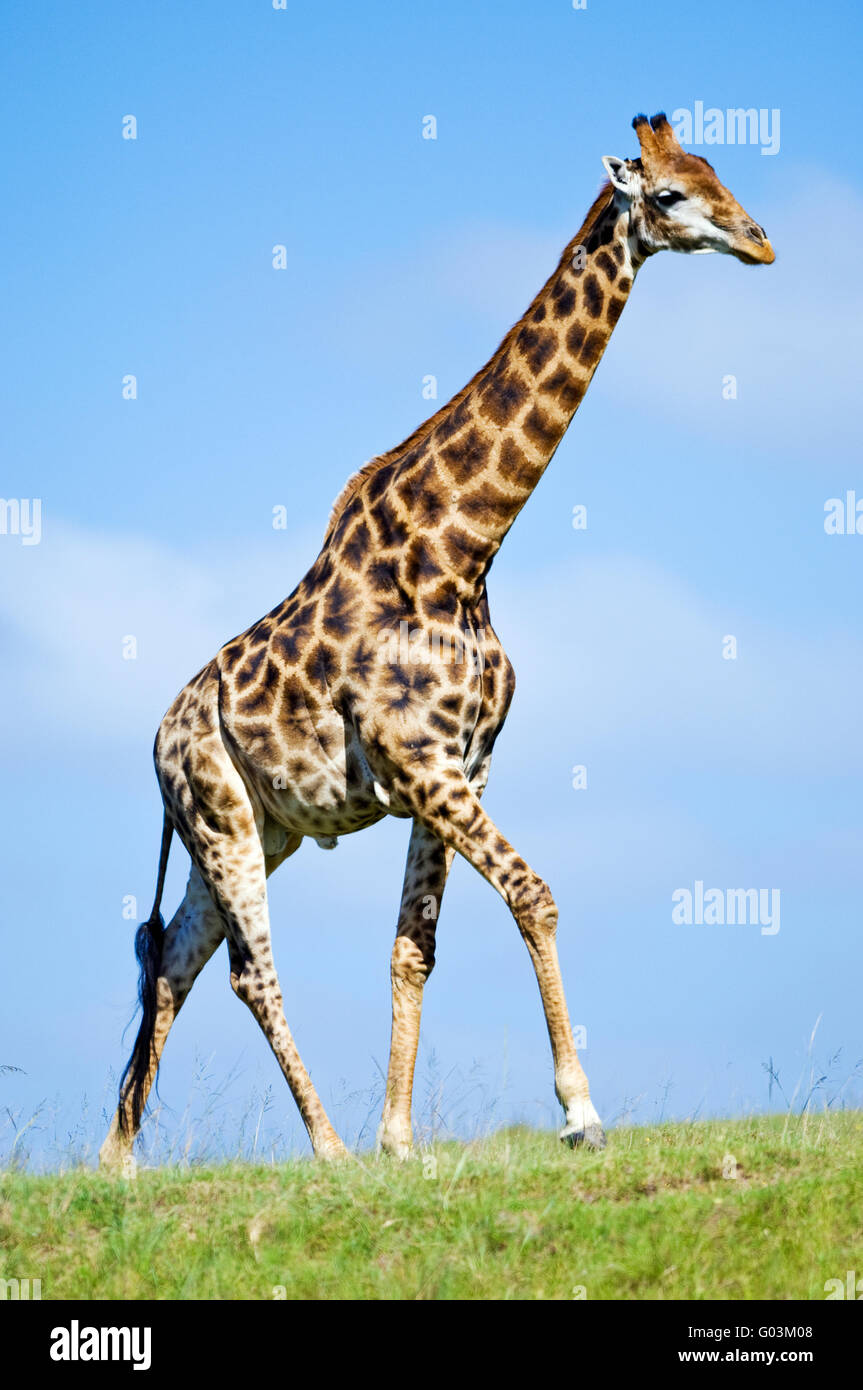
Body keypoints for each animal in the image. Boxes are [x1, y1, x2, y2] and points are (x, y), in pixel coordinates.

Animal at [100, 113, 774, 1174]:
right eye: (667, 194)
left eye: (717, 171)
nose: (760, 243)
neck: (461, 551)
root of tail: (155, 747)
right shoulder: (422, 765)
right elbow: (534, 895)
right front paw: (578, 1112)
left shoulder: (461, 768)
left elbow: (413, 947)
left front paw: (401, 1141)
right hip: (220, 819)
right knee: (249, 973)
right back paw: (324, 1149)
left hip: (253, 830)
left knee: (171, 959)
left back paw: (118, 1164)